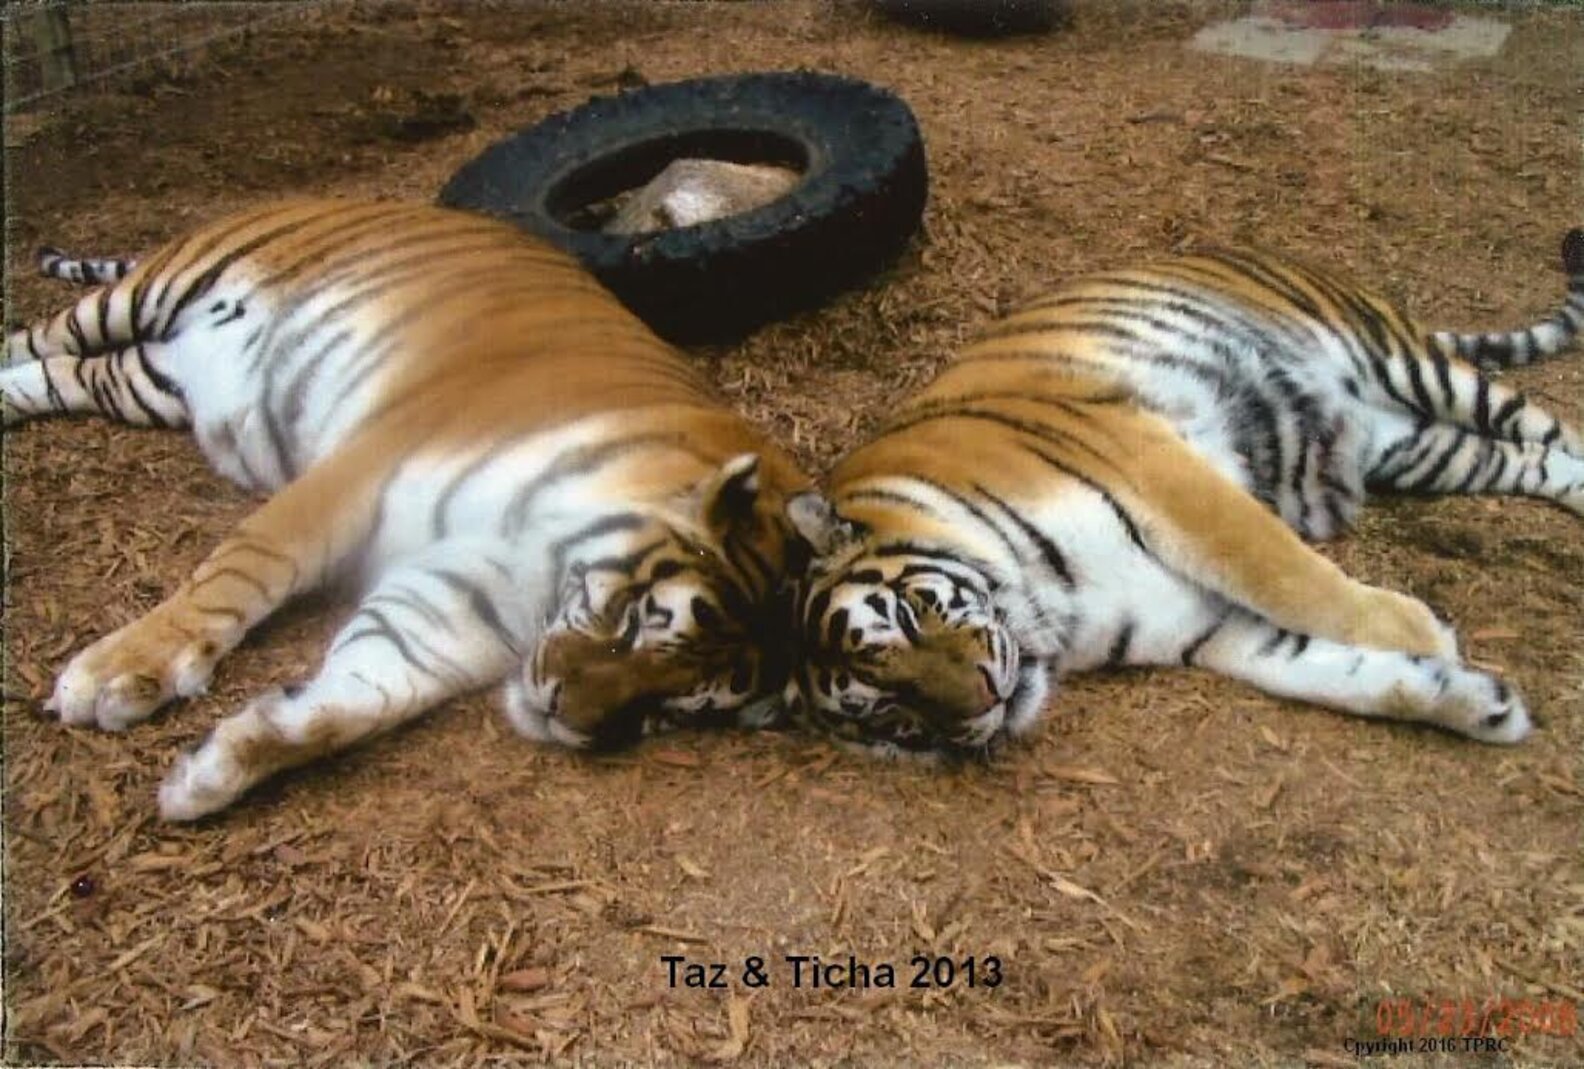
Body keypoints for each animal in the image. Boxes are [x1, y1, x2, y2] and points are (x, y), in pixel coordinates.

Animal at [2, 197, 811, 821]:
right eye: (646, 619)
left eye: (674, 706)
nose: (565, 719)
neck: (544, 571)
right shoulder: (359, 470)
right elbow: (246, 568)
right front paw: (117, 673)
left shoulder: (445, 607)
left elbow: (353, 701)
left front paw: (213, 767)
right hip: (148, 292)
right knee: (34, 337)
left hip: (151, 381)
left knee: (56, 372)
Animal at [784, 229, 1584, 758]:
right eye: (893, 713)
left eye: (910, 615)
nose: (988, 699)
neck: (1055, 610)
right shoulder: (1210, 628)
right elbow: (1336, 673)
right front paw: (1483, 707)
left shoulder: (1153, 463)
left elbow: (1285, 572)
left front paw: (1423, 633)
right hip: (1413, 447)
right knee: (1527, 458)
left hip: (1406, 365)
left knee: (1553, 425)